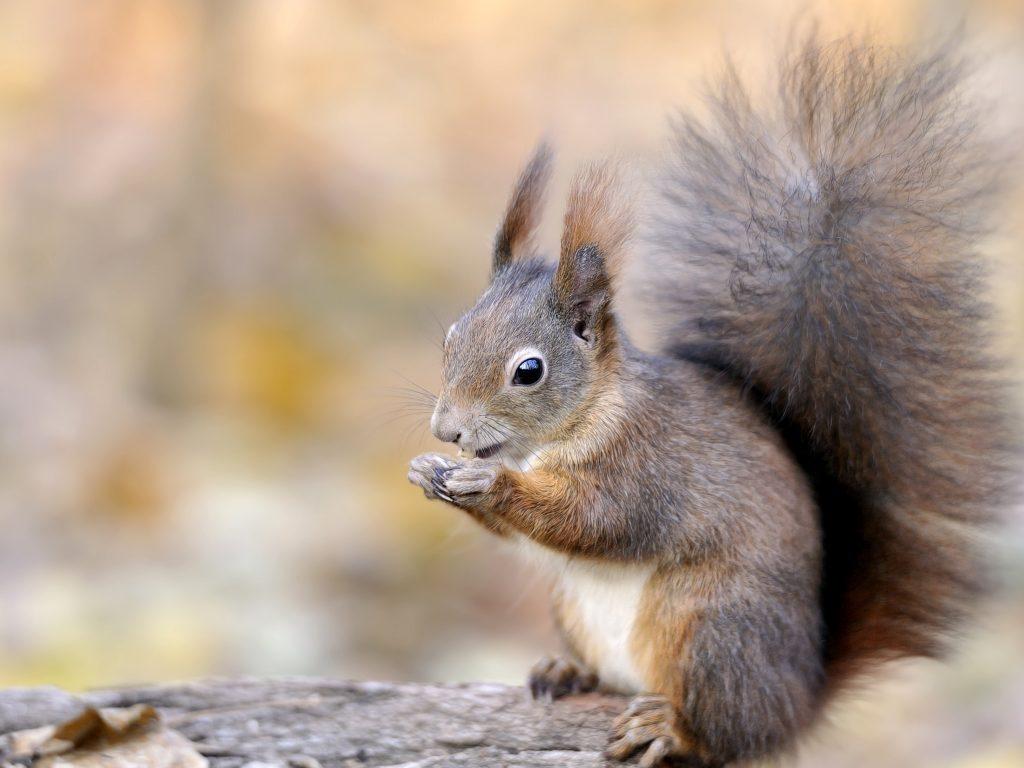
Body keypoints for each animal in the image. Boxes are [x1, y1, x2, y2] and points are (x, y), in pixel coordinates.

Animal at [407, 32, 1015, 767]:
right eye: (452, 334)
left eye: (529, 371)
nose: (446, 431)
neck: (570, 429)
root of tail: (798, 699)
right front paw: (430, 473)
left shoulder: (647, 465)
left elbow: (595, 520)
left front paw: (490, 485)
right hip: (582, 611)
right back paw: (569, 670)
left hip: (706, 622)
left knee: (724, 729)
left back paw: (671, 727)